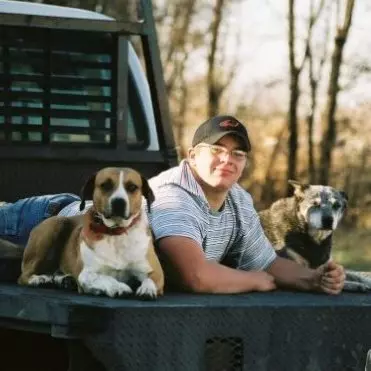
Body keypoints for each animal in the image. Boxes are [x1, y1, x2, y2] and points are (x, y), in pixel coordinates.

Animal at [17, 168, 164, 300]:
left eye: (132, 187)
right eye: (105, 185)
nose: (118, 202)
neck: (115, 233)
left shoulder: (155, 271)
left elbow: (151, 279)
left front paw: (147, 289)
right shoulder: (86, 275)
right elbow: (104, 278)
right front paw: (118, 287)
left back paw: (65, 280)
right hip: (54, 225)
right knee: (22, 277)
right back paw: (38, 279)